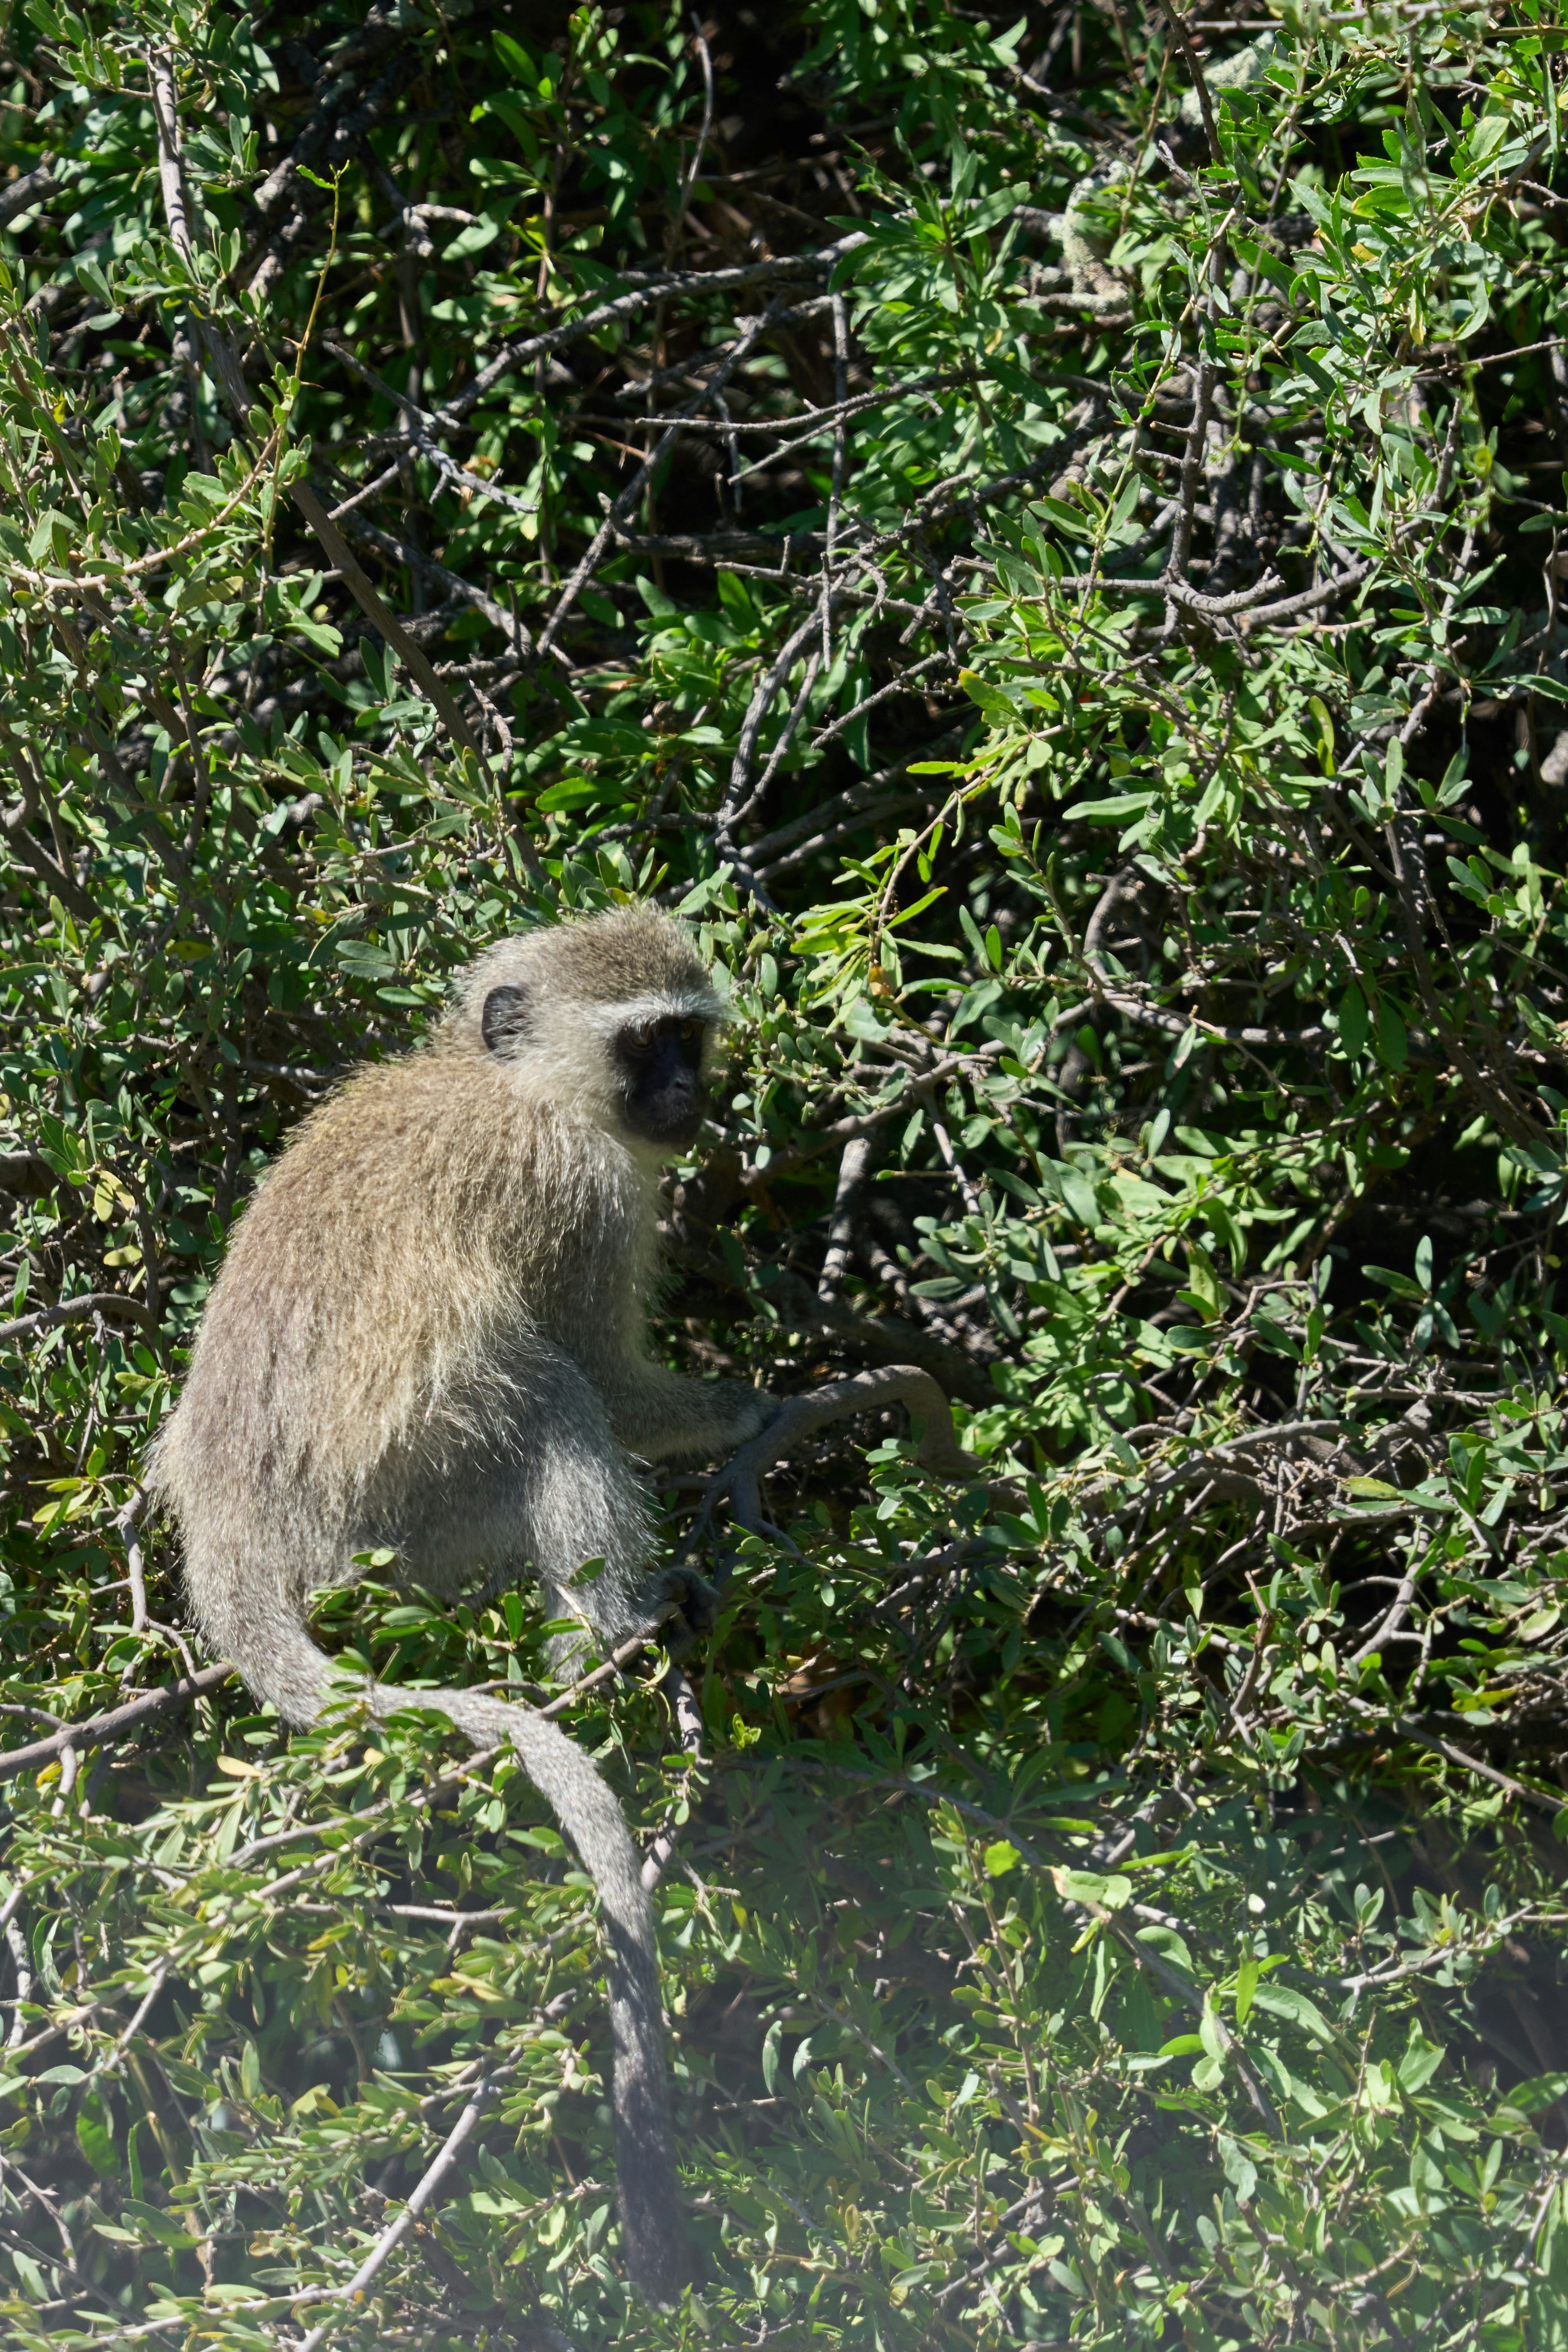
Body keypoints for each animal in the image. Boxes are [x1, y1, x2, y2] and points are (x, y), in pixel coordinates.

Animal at [149, 905, 775, 2308]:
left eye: (690, 1034)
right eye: (644, 1042)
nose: (690, 1096)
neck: (513, 1086)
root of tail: (233, 1526)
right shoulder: (575, 1193)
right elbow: (604, 1373)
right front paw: (759, 1407)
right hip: (408, 1507)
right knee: (546, 1394)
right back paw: (611, 1633)